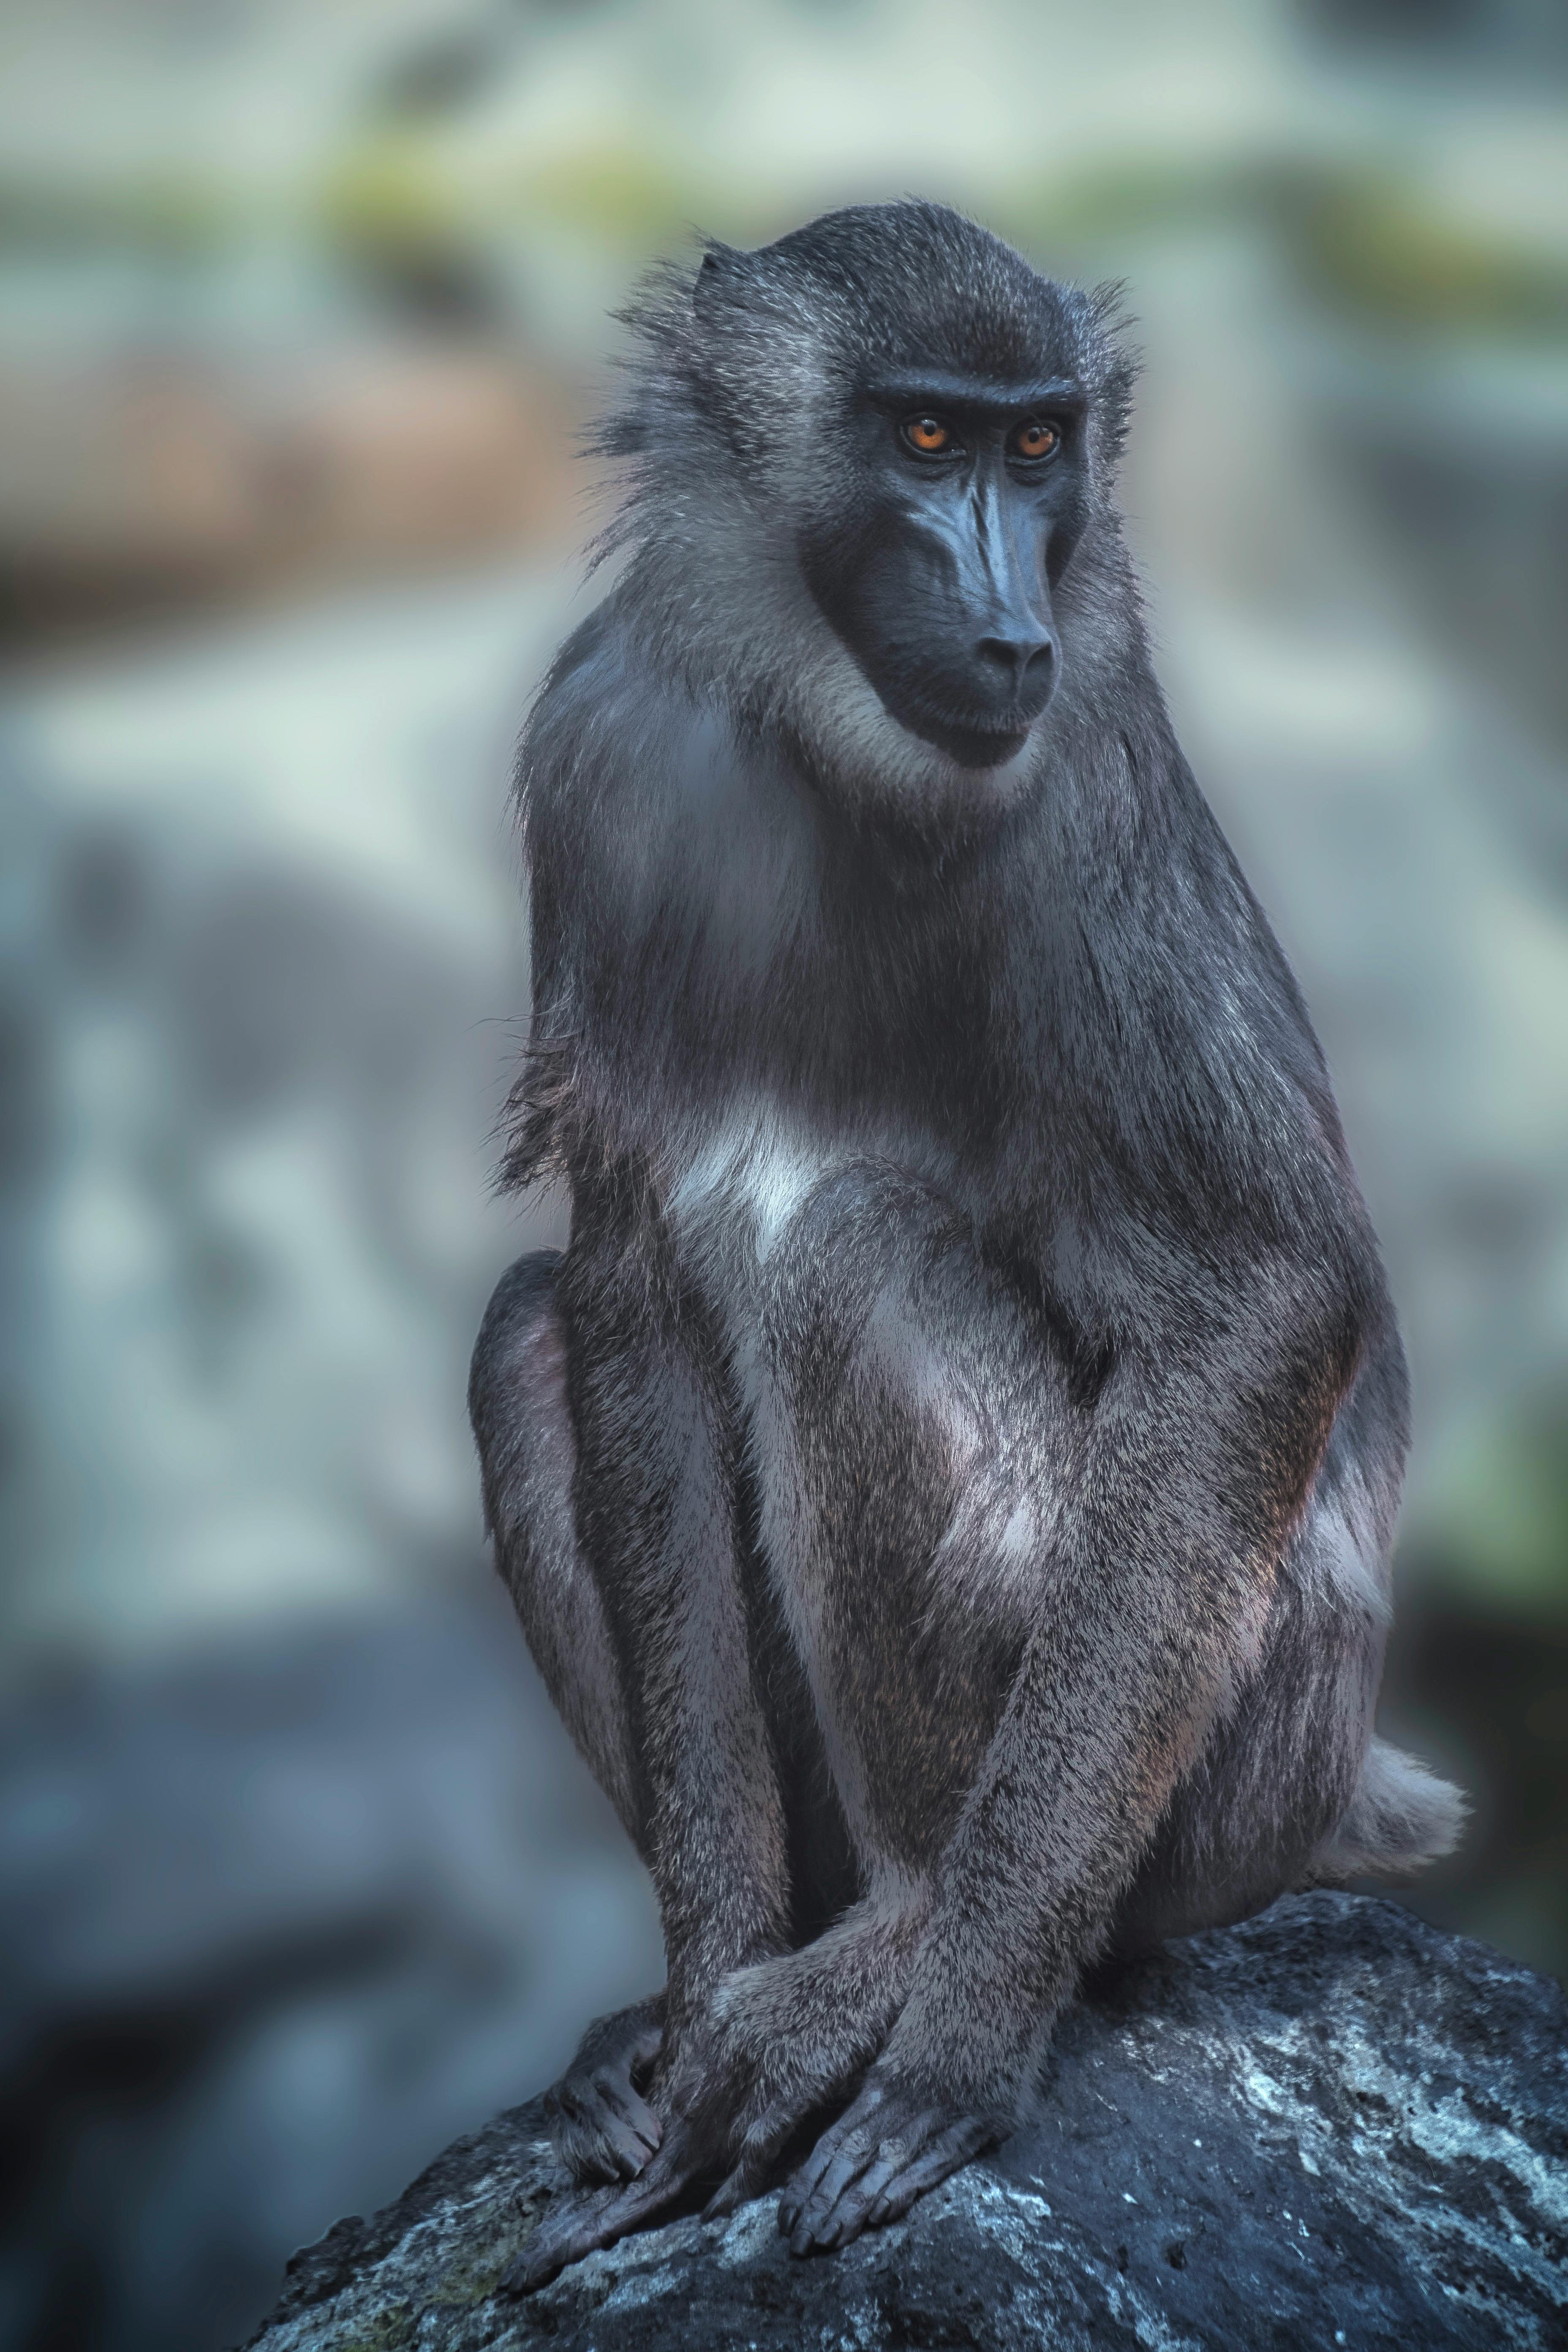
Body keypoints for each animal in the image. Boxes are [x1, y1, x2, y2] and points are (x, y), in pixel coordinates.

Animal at [467, 201, 1465, 2290]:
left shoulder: (1084, 775)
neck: (822, 732)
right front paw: (698, 1990)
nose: (1006, 625)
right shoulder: (594, 763)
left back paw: (919, 1934)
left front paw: (957, 2037)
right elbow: (618, 1295)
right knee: (523, 1332)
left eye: (1035, 447)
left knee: (851, 1255)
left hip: (1218, 1760)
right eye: (924, 443)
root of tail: (1341, 1770)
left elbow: (1266, 1299)